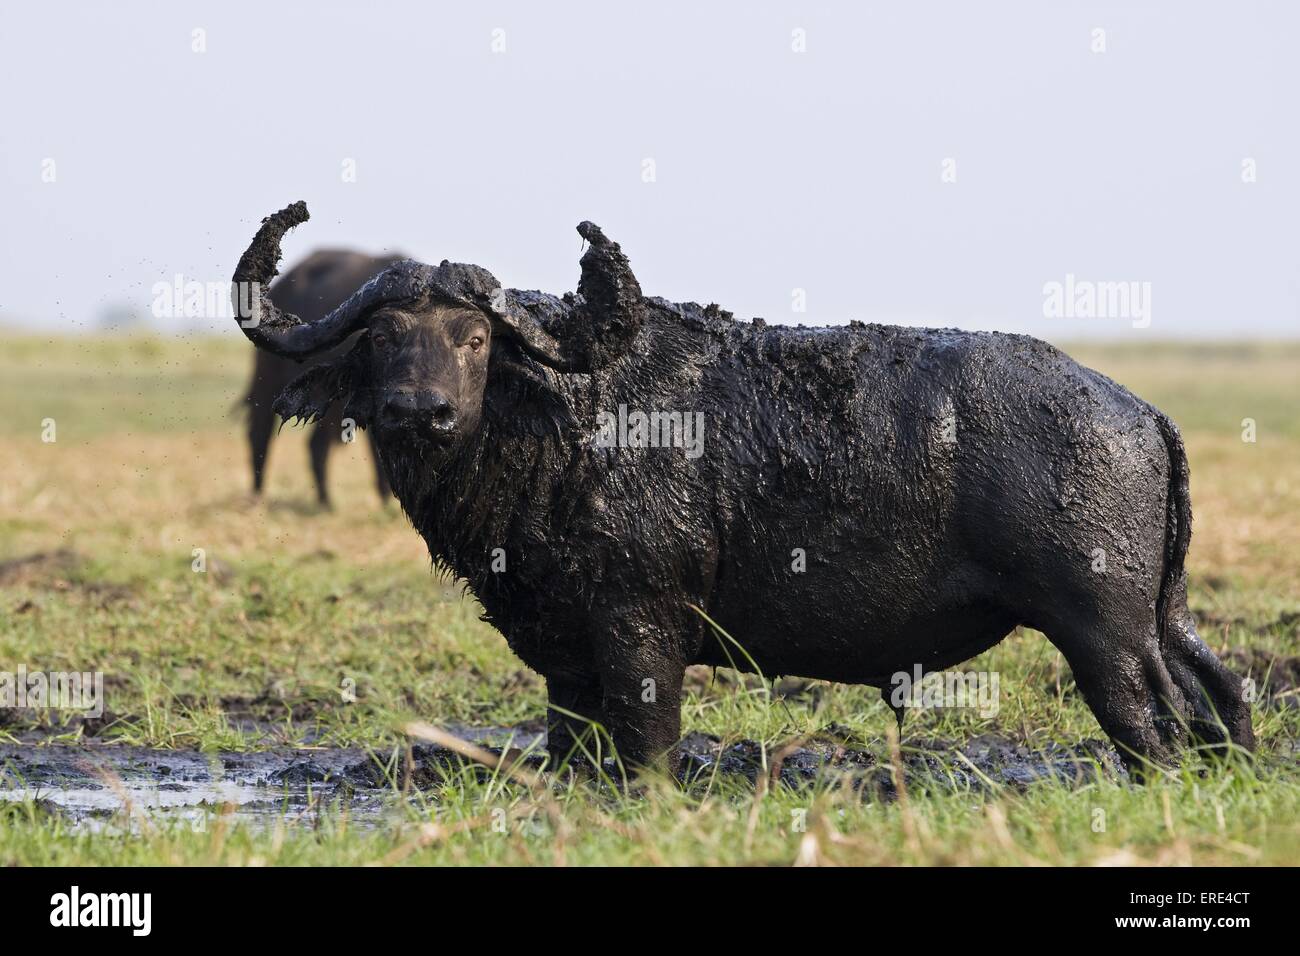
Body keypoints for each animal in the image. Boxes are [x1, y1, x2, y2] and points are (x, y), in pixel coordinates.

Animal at [231, 202, 1254, 776]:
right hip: (1162, 618)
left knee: (1157, 730)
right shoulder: (561, 647)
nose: (420, 410)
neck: (563, 419)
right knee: (1223, 693)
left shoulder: (641, 626)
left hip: (1104, 636)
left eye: (476, 337)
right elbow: (571, 747)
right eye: (381, 337)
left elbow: (647, 746)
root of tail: (1140, 414)